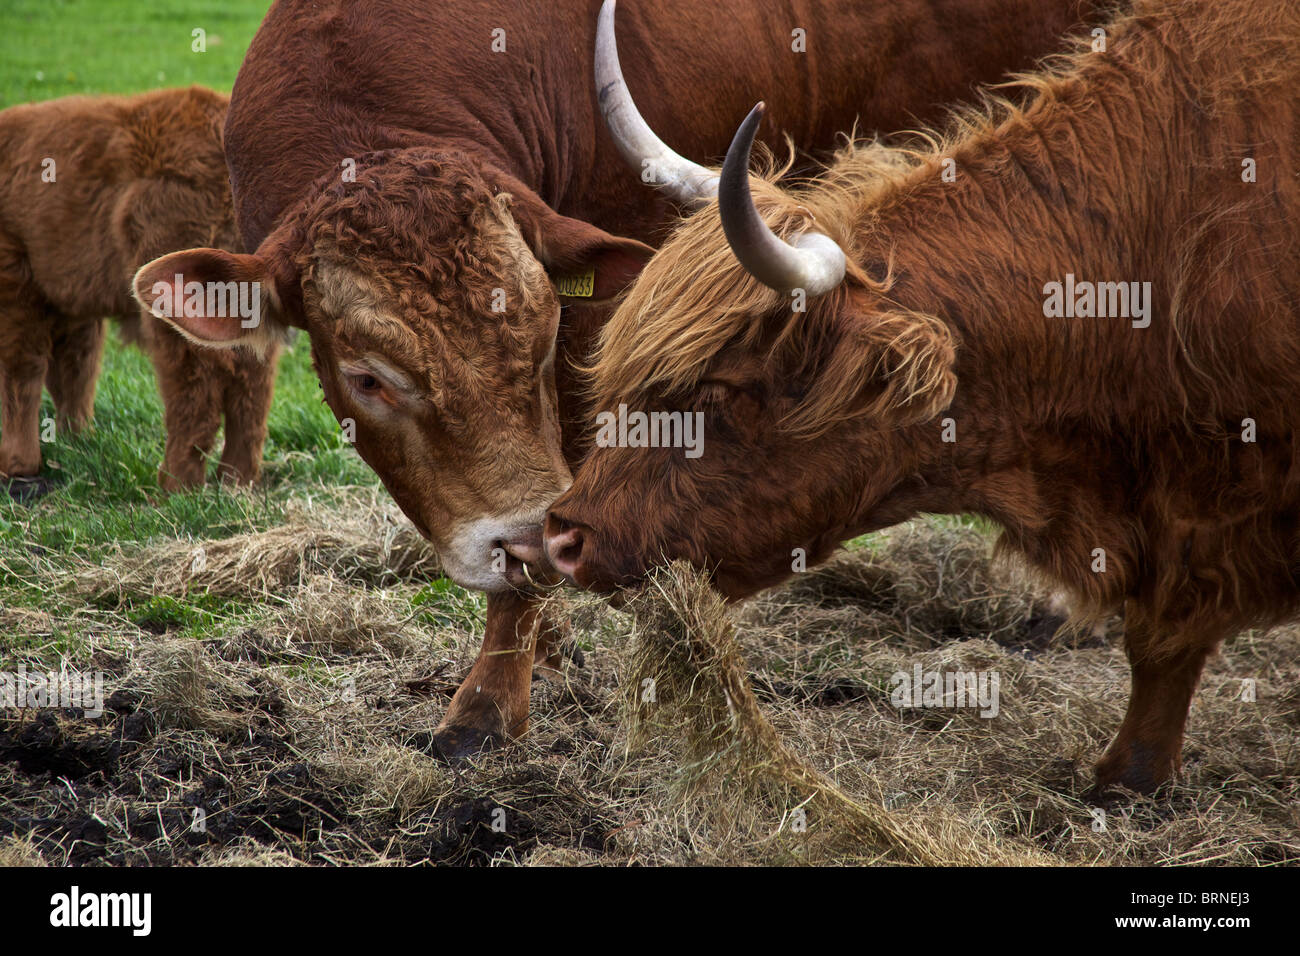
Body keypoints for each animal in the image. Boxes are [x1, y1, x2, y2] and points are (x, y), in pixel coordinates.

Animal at [0, 86, 277, 495]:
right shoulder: (69, 297)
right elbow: (75, 368)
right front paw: (78, 439)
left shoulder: (16, 276)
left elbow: (22, 370)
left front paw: (17, 465)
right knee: (251, 384)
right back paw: (237, 482)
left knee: (197, 391)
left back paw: (175, 487)